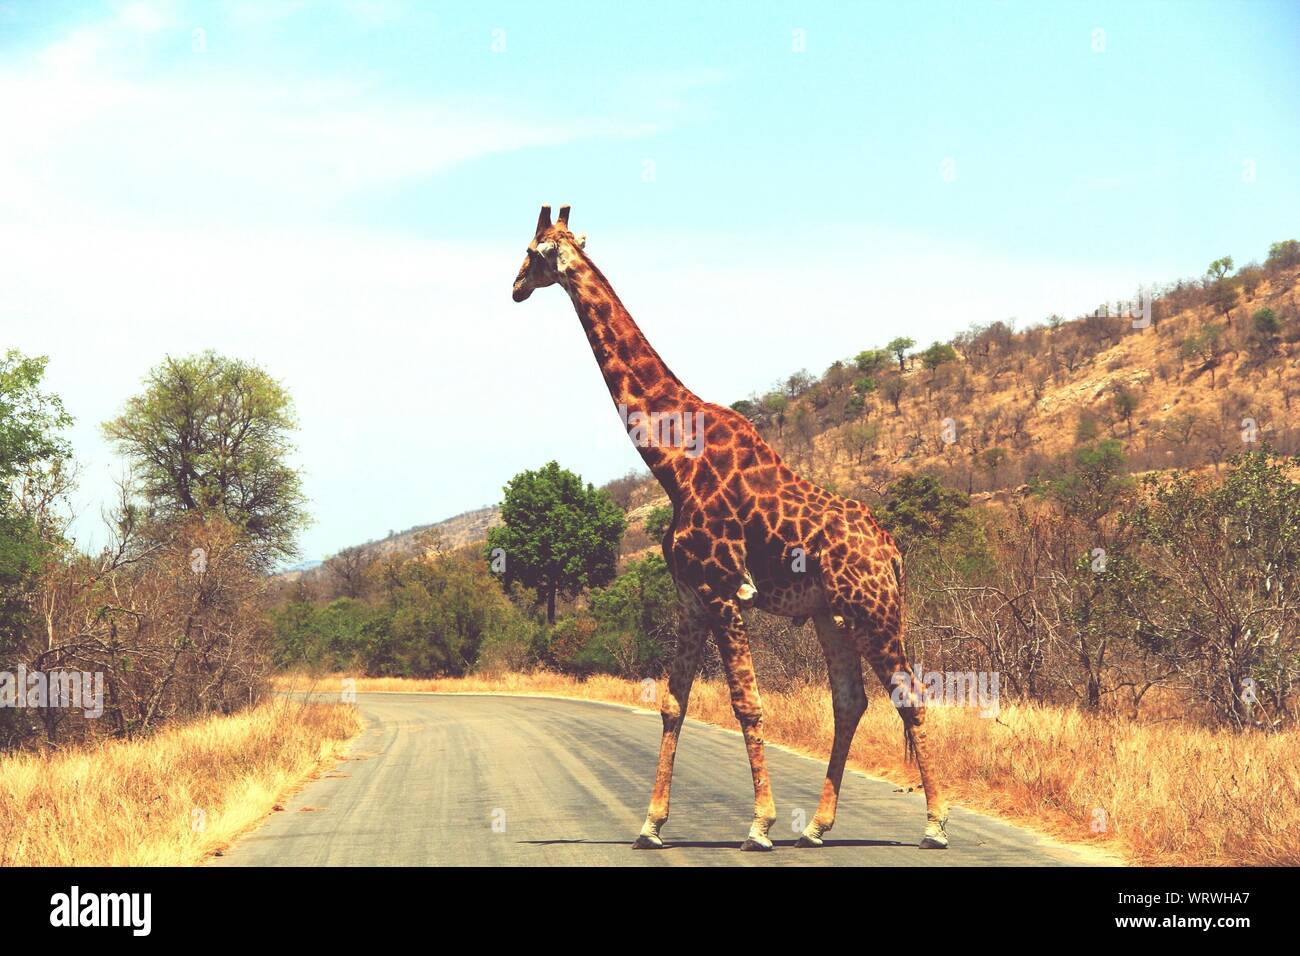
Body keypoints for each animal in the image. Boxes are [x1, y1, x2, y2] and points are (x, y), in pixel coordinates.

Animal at [511, 204, 949, 851]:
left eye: (533, 252)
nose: (514, 288)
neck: (671, 458)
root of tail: (892, 548)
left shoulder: (722, 589)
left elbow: (746, 702)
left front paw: (759, 824)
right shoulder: (691, 597)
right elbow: (674, 703)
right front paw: (650, 824)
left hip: (874, 608)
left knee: (910, 695)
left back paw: (936, 824)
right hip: (831, 613)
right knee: (851, 700)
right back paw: (817, 827)